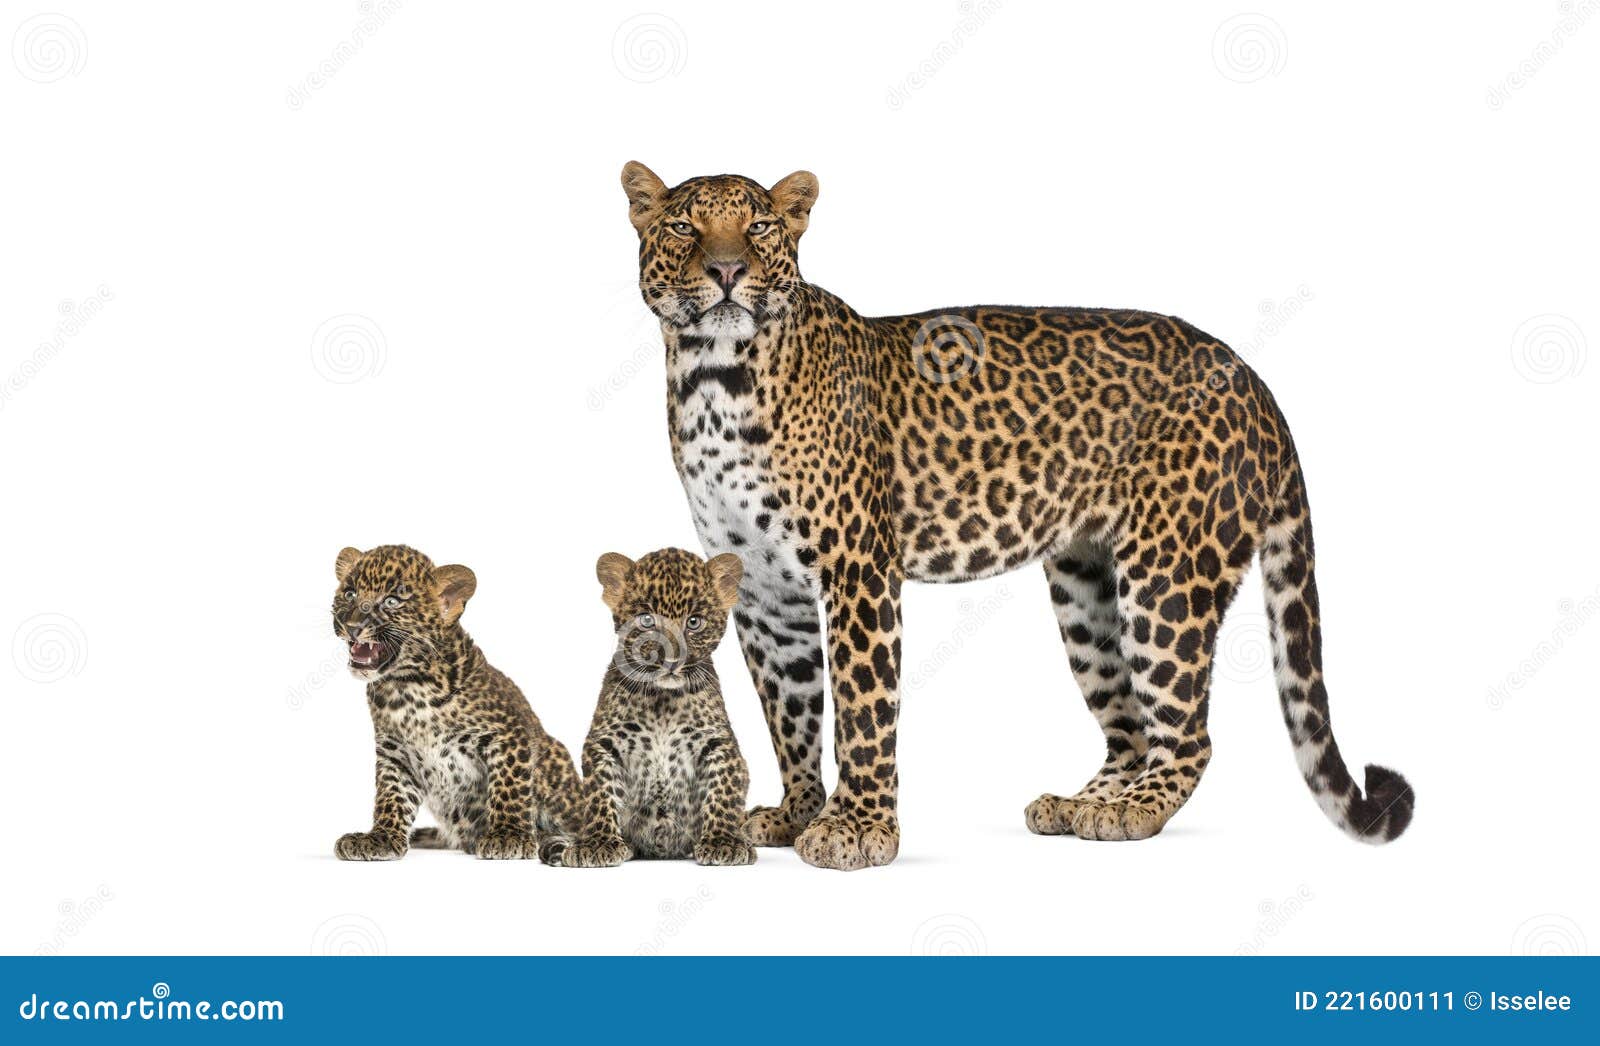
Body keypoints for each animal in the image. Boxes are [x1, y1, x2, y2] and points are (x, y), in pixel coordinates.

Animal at [331, 544, 580, 860]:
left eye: (392, 601)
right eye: (350, 593)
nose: (351, 626)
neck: (408, 687)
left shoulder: (509, 734)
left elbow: (509, 787)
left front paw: (507, 835)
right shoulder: (395, 752)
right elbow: (391, 795)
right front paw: (381, 837)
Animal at [542, 547, 755, 868]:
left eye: (694, 622)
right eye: (645, 620)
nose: (671, 660)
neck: (662, 701)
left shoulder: (718, 742)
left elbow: (724, 790)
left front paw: (723, 841)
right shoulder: (604, 742)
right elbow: (601, 792)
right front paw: (597, 842)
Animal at [619, 160, 1416, 870]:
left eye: (758, 226)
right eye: (685, 227)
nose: (727, 270)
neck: (713, 377)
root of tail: (1253, 378)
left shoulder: (858, 571)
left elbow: (863, 709)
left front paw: (858, 830)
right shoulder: (761, 587)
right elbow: (792, 710)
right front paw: (795, 814)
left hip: (1168, 578)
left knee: (1187, 734)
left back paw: (1133, 812)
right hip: (1085, 588)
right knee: (1129, 728)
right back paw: (1083, 804)